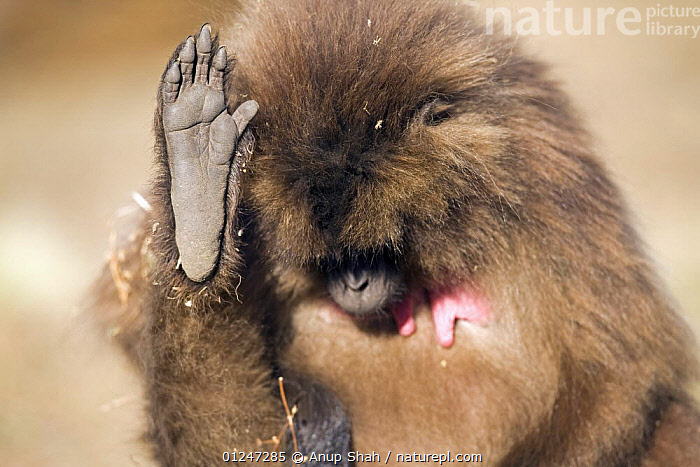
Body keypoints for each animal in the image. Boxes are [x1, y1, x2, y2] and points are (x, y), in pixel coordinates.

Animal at [90, 0, 700, 465]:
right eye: (325, 259)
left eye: (377, 247)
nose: (356, 284)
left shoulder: (548, 185)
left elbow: (619, 373)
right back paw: (202, 214)